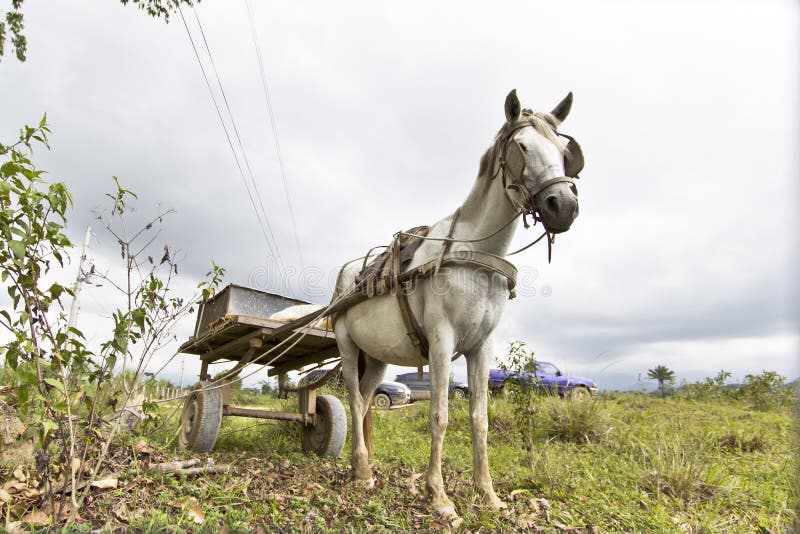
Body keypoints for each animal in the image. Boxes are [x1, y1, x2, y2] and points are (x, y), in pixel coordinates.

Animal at [332, 89, 582, 518]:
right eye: (521, 146)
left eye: (564, 151)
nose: (563, 206)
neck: (473, 255)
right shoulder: (441, 340)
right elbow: (440, 414)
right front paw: (439, 495)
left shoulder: (482, 346)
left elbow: (479, 418)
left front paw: (488, 493)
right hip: (348, 347)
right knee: (351, 397)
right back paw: (362, 470)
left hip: (377, 357)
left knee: (364, 402)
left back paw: (361, 467)